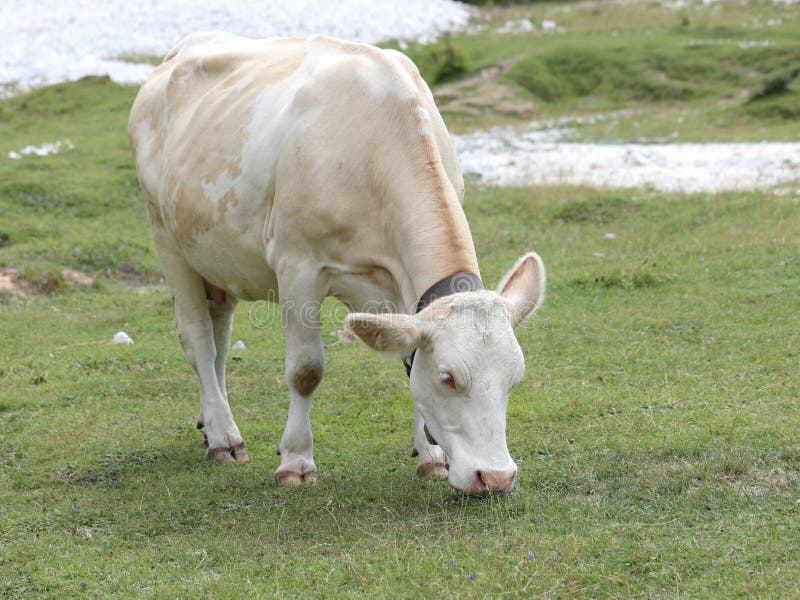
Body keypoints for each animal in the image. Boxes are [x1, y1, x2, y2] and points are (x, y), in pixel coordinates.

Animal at [128, 32, 545, 495]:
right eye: (448, 377)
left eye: (515, 378)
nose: (496, 477)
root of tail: (179, 52)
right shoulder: (297, 266)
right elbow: (305, 370)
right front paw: (295, 461)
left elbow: (408, 361)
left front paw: (431, 455)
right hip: (166, 236)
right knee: (198, 338)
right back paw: (224, 437)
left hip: (215, 254)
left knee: (219, 335)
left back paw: (211, 419)